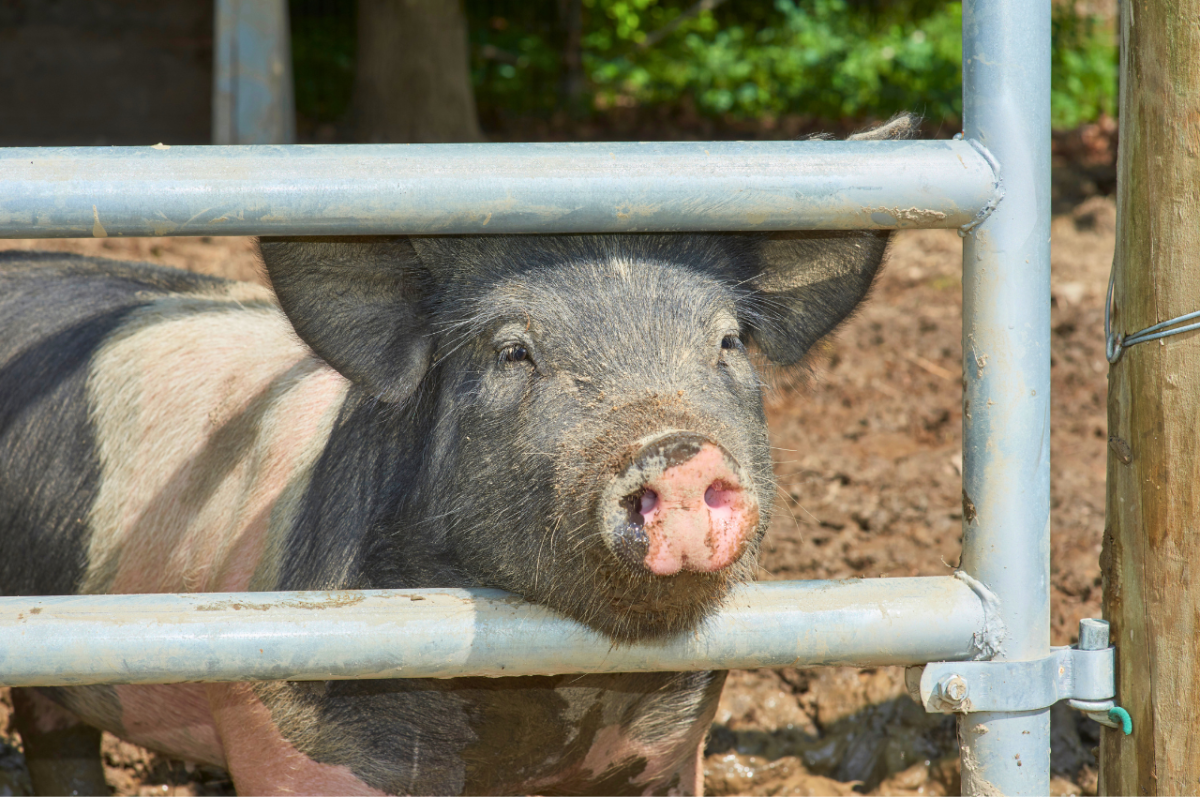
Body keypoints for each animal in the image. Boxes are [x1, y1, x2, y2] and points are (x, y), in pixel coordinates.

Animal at [0, 115, 916, 796]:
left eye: (727, 343)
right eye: (512, 351)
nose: (678, 449)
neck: (537, 717)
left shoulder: (668, 746)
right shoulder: (282, 728)